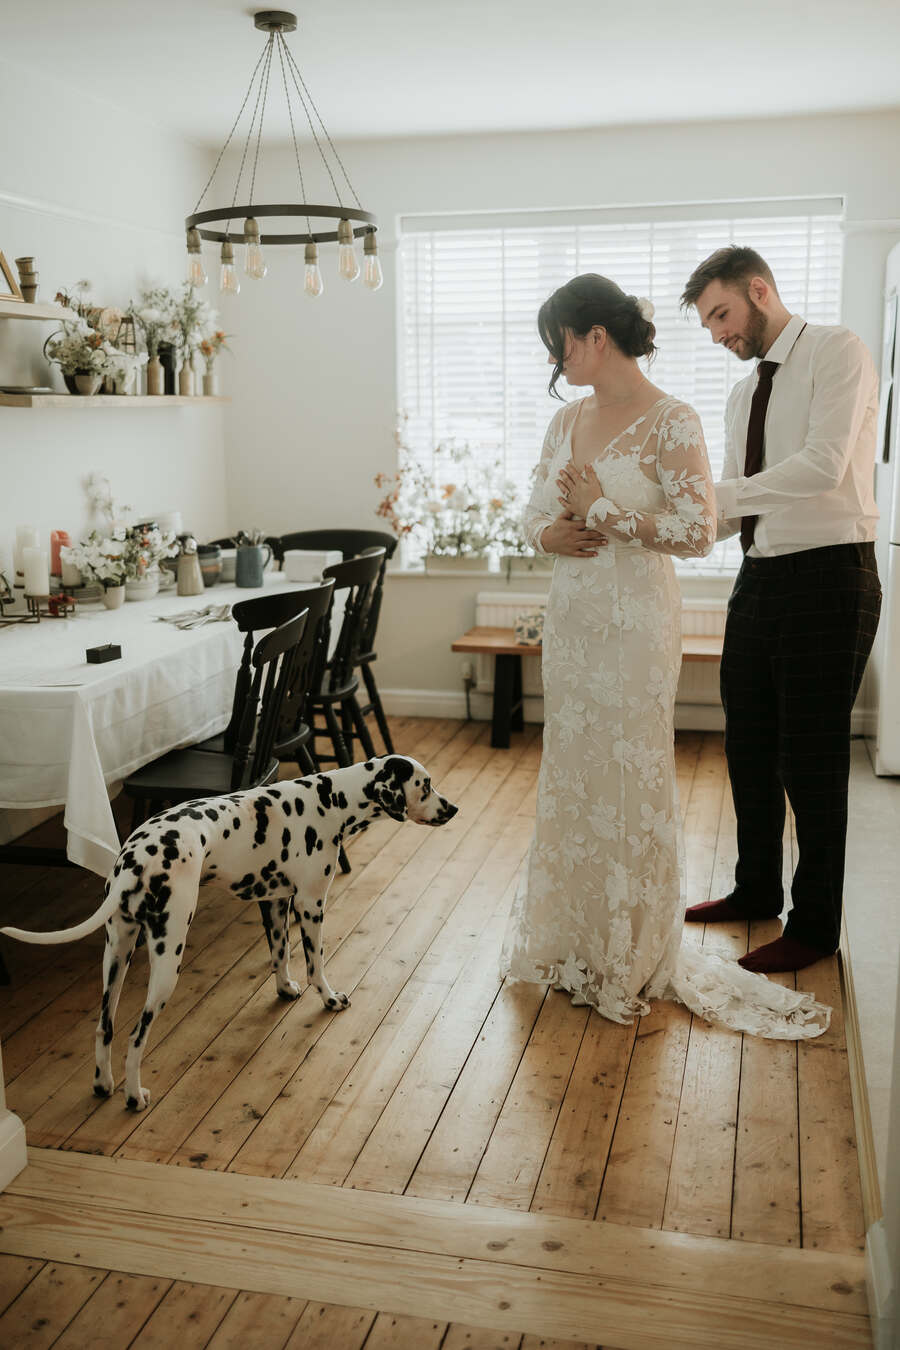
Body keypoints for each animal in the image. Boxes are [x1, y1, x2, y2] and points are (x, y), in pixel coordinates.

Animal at [0, 756, 458, 1112]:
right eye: (426, 784)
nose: (453, 808)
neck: (329, 801)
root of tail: (134, 859)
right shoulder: (311, 904)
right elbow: (316, 964)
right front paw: (329, 999)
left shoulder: (274, 903)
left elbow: (280, 954)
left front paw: (285, 989)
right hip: (167, 958)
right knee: (134, 1034)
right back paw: (133, 1096)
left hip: (117, 954)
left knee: (104, 1026)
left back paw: (103, 1085)